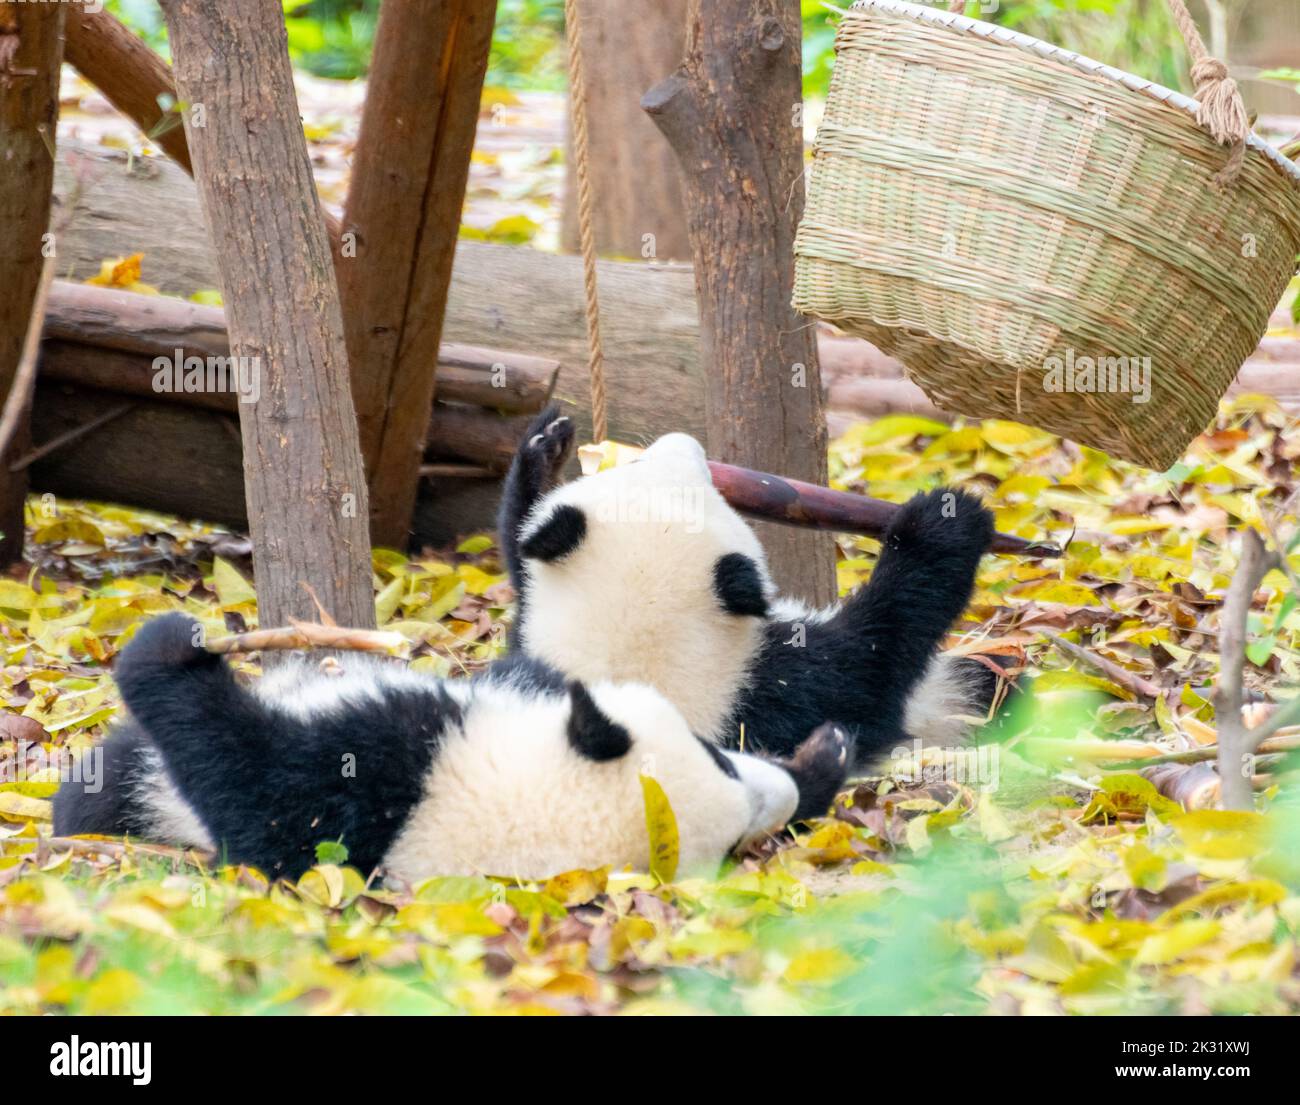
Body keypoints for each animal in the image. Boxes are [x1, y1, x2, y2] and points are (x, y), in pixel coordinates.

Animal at [53, 613, 854, 882]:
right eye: (713, 753)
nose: (774, 794)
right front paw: (823, 757)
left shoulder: (383, 775)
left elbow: (251, 786)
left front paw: (167, 648)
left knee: (121, 776)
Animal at [496, 407, 1006, 766]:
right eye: (700, 480)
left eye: (637, 465)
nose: (685, 440)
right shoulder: (779, 695)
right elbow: (878, 660)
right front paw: (943, 521)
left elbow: (521, 560)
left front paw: (545, 449)